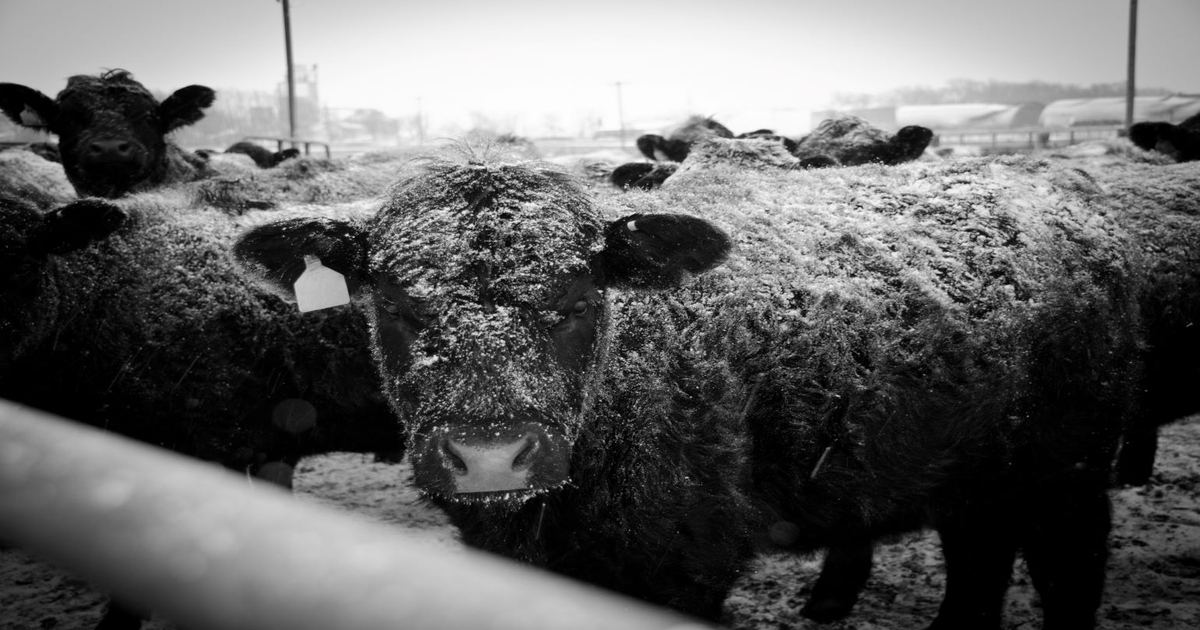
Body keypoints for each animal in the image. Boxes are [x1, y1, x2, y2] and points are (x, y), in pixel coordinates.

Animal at [234, 145, 1142, 629]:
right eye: (395, 300)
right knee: (979, 561)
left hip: (1068, 477)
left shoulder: (682, 567)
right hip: (975, 475)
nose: (490, 456)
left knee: (1068, 574)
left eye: (578, 296)